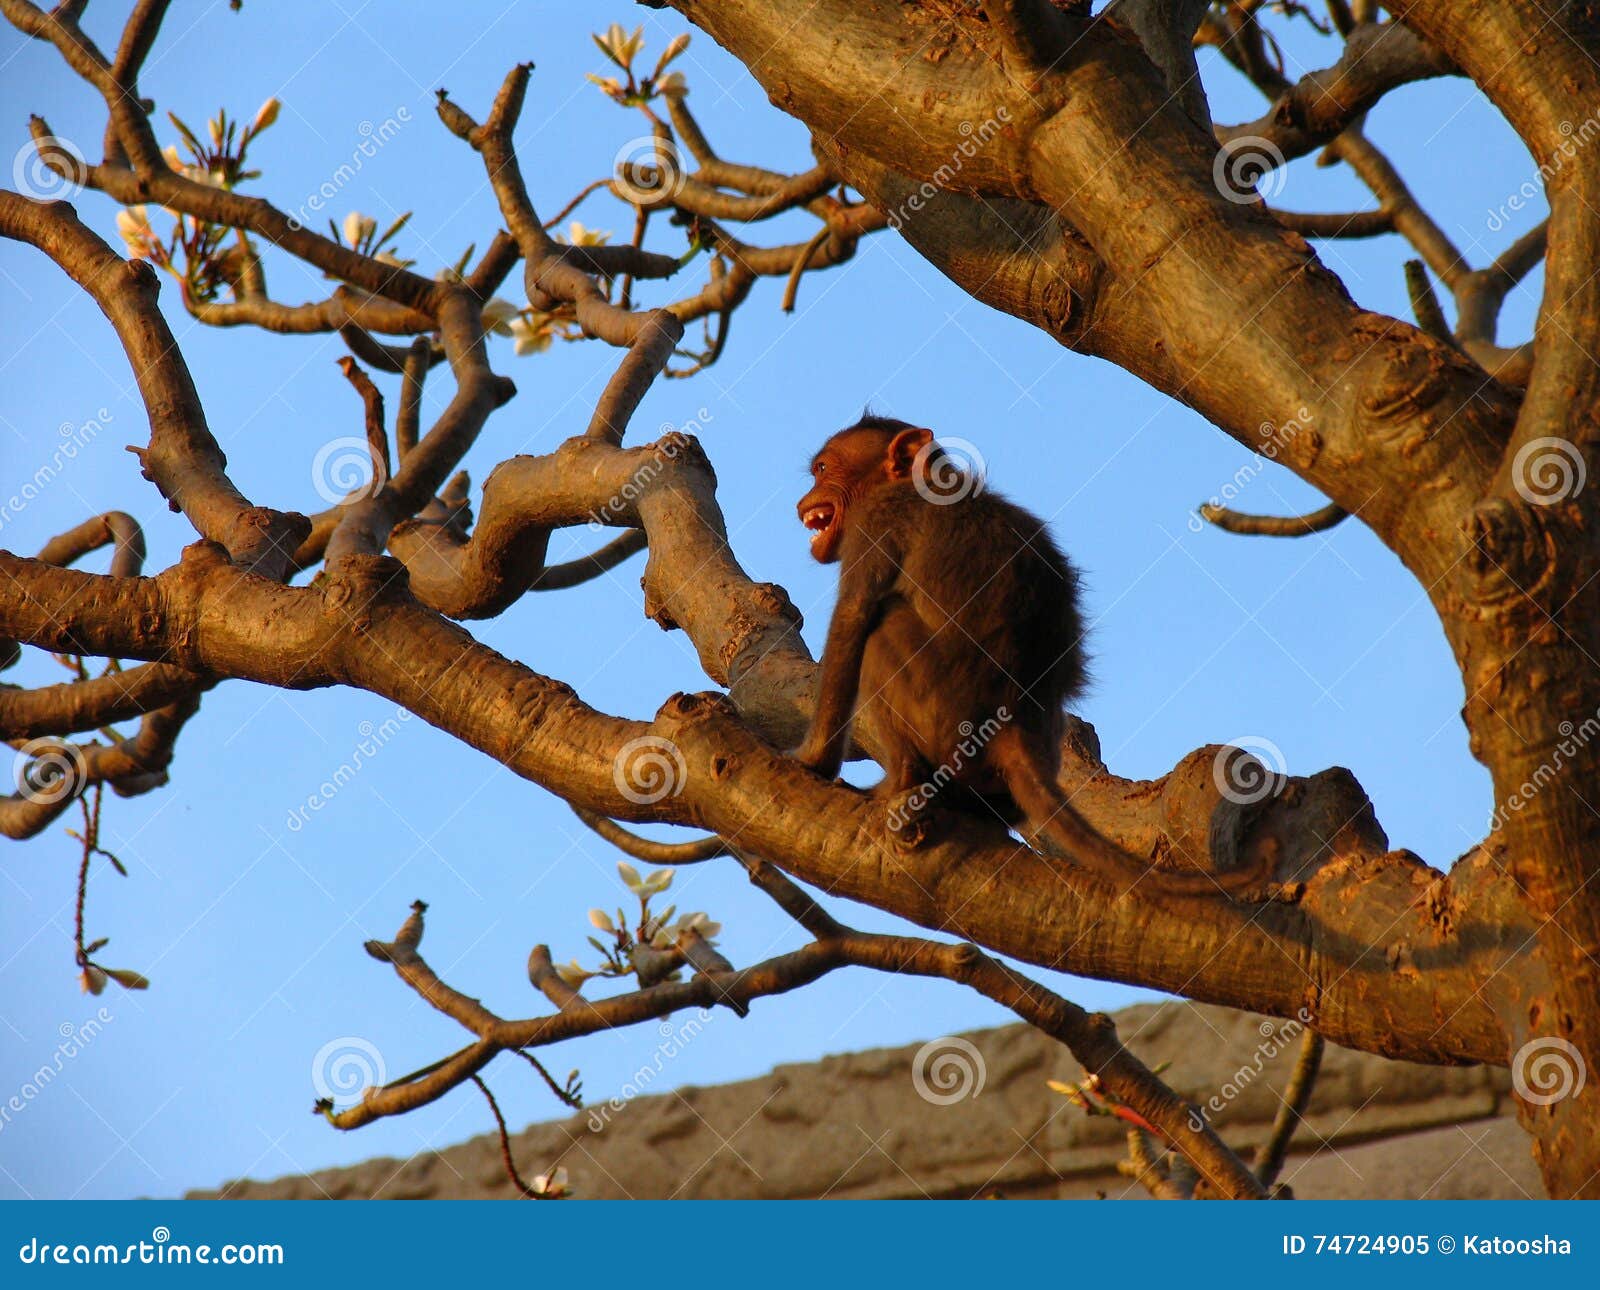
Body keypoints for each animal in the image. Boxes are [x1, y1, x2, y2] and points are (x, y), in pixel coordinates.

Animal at [791, 414, 1274, 898]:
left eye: (823, 469)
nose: (803, 500)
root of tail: (1012, 723)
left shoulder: (879, 519)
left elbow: (853, 618)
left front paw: (812, 762)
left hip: (942, 716)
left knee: (882, 628)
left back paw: (903, 781)